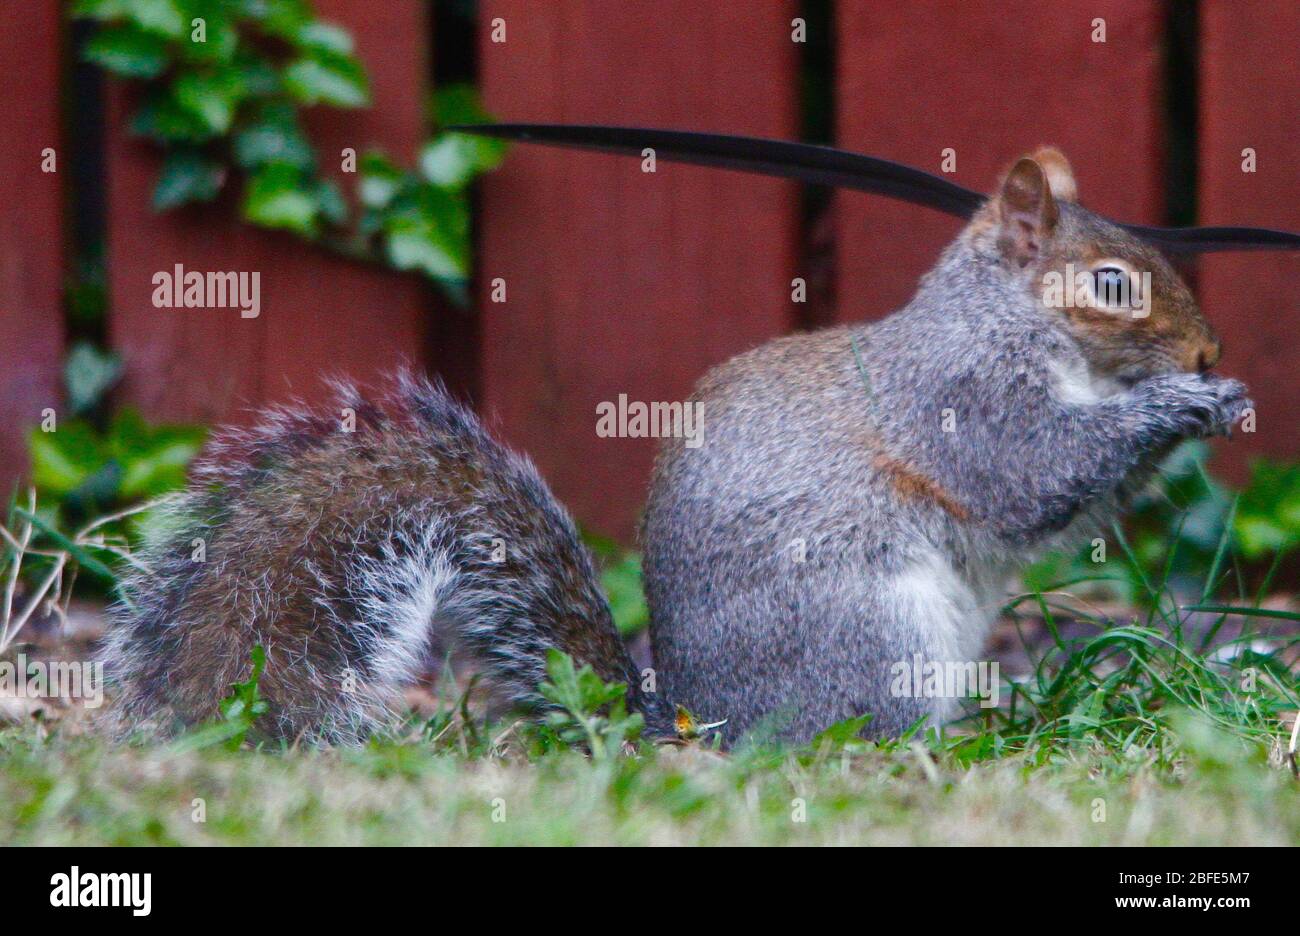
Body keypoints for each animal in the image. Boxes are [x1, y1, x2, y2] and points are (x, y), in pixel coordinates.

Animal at [103, 147, 1250, 746]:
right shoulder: (967, 403)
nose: (1209, 345)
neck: (1015, 325)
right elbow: (1035, 475)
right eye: (1111, 285)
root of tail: (693, 722)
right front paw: (1182, 403)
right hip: (874, 629)